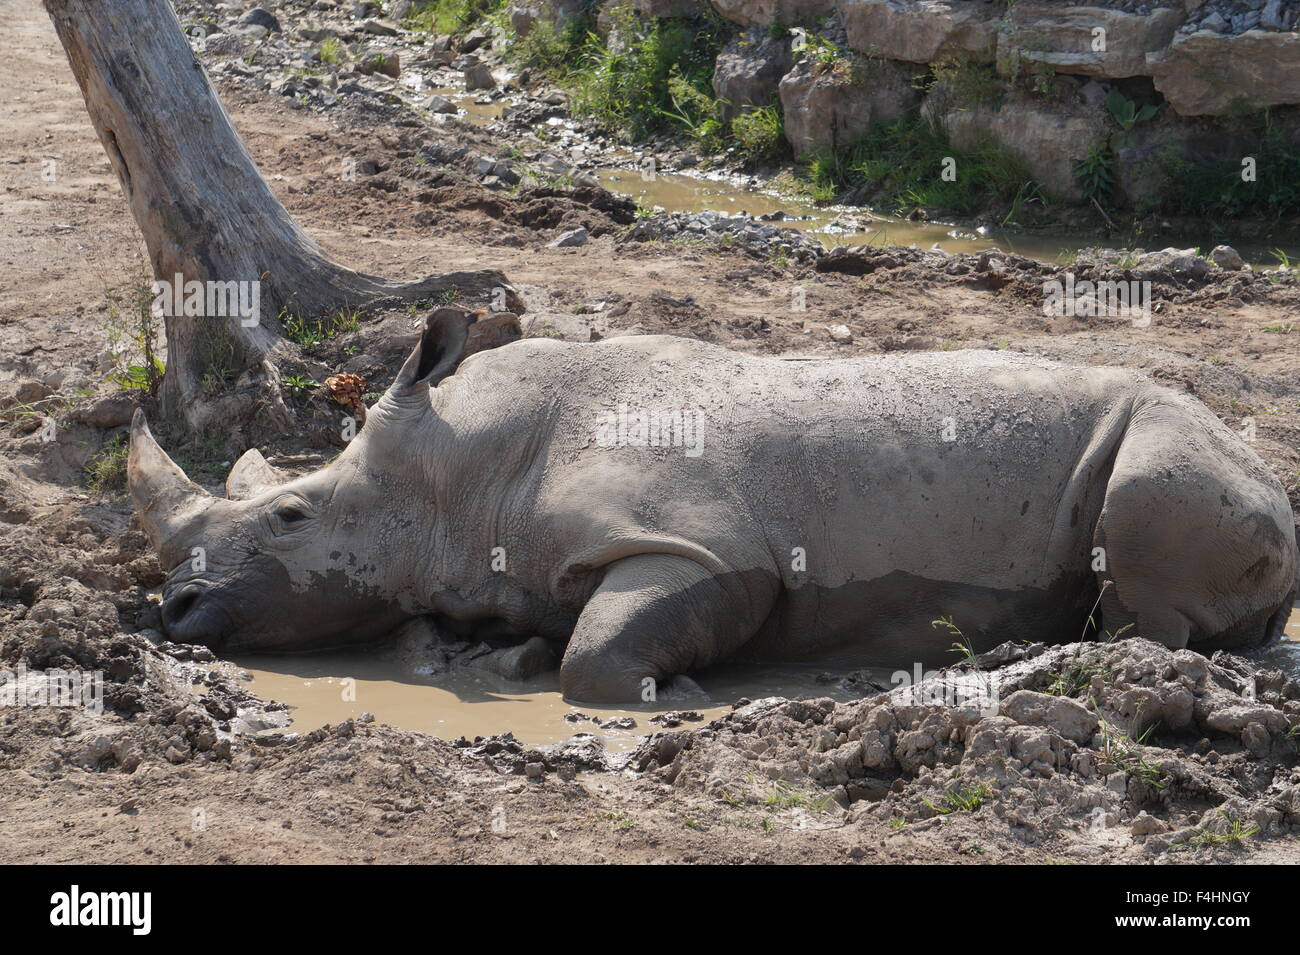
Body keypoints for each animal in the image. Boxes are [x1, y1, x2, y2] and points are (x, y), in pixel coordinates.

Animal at [129, 311, 1298, 702]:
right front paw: (487, 654)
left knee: (1142, 539)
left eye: (290, 517)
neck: (463, 473)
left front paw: (680, 692)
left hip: (1182, 453)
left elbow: (600, 656)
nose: (173, 612)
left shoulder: (702, 545)